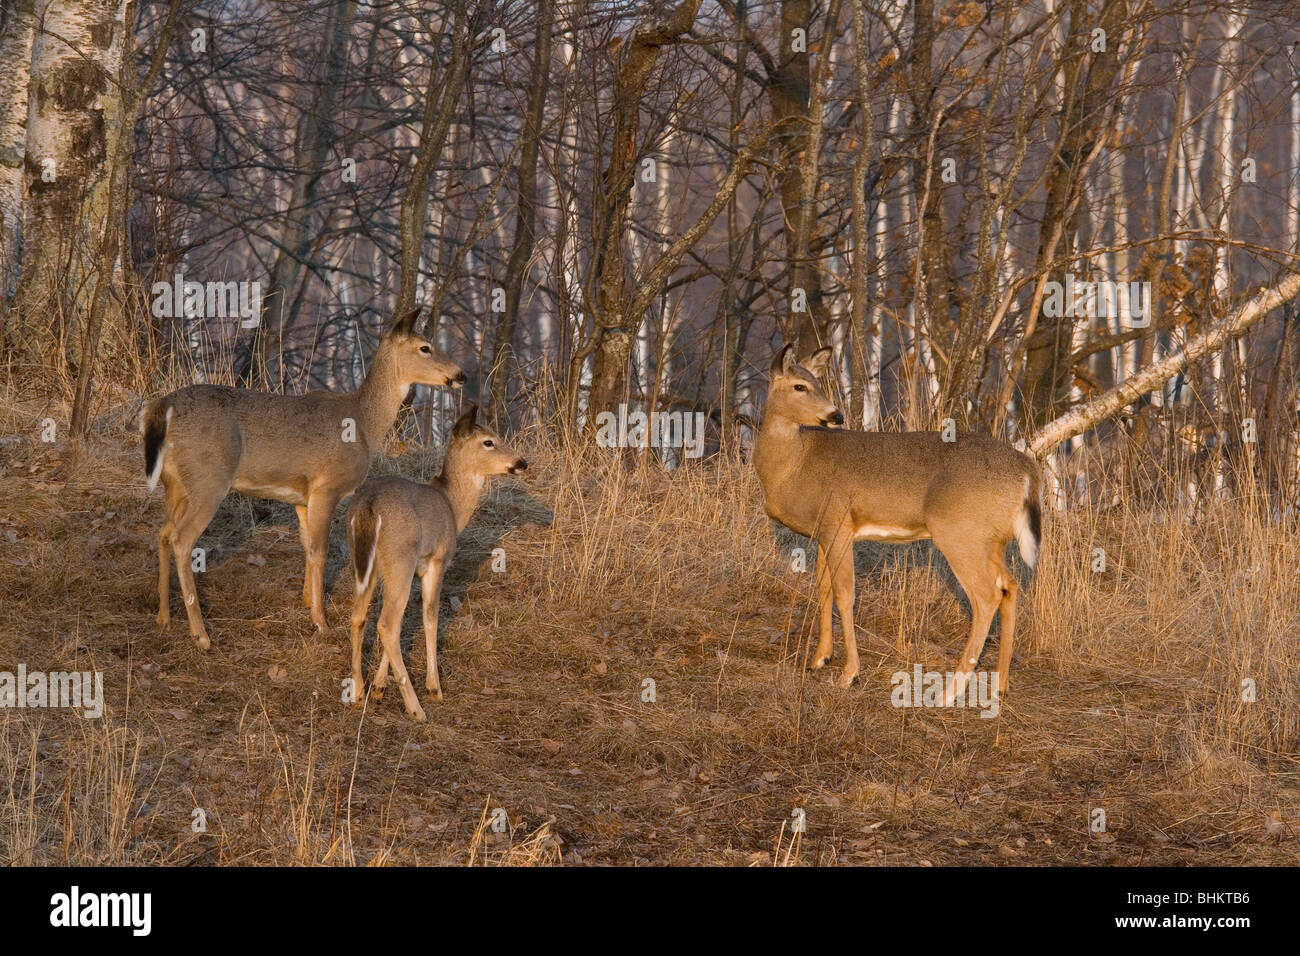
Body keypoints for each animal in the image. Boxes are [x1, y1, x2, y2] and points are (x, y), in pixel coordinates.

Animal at [142, 308, 466, 651]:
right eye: (425, 347)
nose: (461, 375)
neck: (364, 424)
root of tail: (162, 408)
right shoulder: (327, 486)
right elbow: (319, 551)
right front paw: (320, 621)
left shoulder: (301, 496)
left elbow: (307, 545)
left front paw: (306, 603)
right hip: (209, 479)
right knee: (182, 538)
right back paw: (201, 634)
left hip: (174, 483)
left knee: (163, 533)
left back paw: (163, 617)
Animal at [346, 404, 527, 721]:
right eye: (489, 441)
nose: (521, 462)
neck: (453, 506)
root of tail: (369, 506)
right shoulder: (436, 562)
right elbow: (430, 617)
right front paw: (434, 687)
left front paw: (378, 686)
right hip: (400, 558)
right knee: (387, 624)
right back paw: (416, 708)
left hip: (366, 562)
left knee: (359, 617)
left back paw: (357, 691)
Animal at [752, 344, 1042, 705]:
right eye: (800, 386)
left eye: (813, 384)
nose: (836, 415)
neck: (792, 466)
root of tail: (1026, 471)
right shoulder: (823, 532)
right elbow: (823, 588)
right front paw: (820, 658)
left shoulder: (838, 522)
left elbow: (845, 595)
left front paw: (849, 674)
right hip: (991, 540)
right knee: (1010, 586)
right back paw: (1000, 684)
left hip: (960, 533)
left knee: (987, 596)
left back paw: (950, 691)